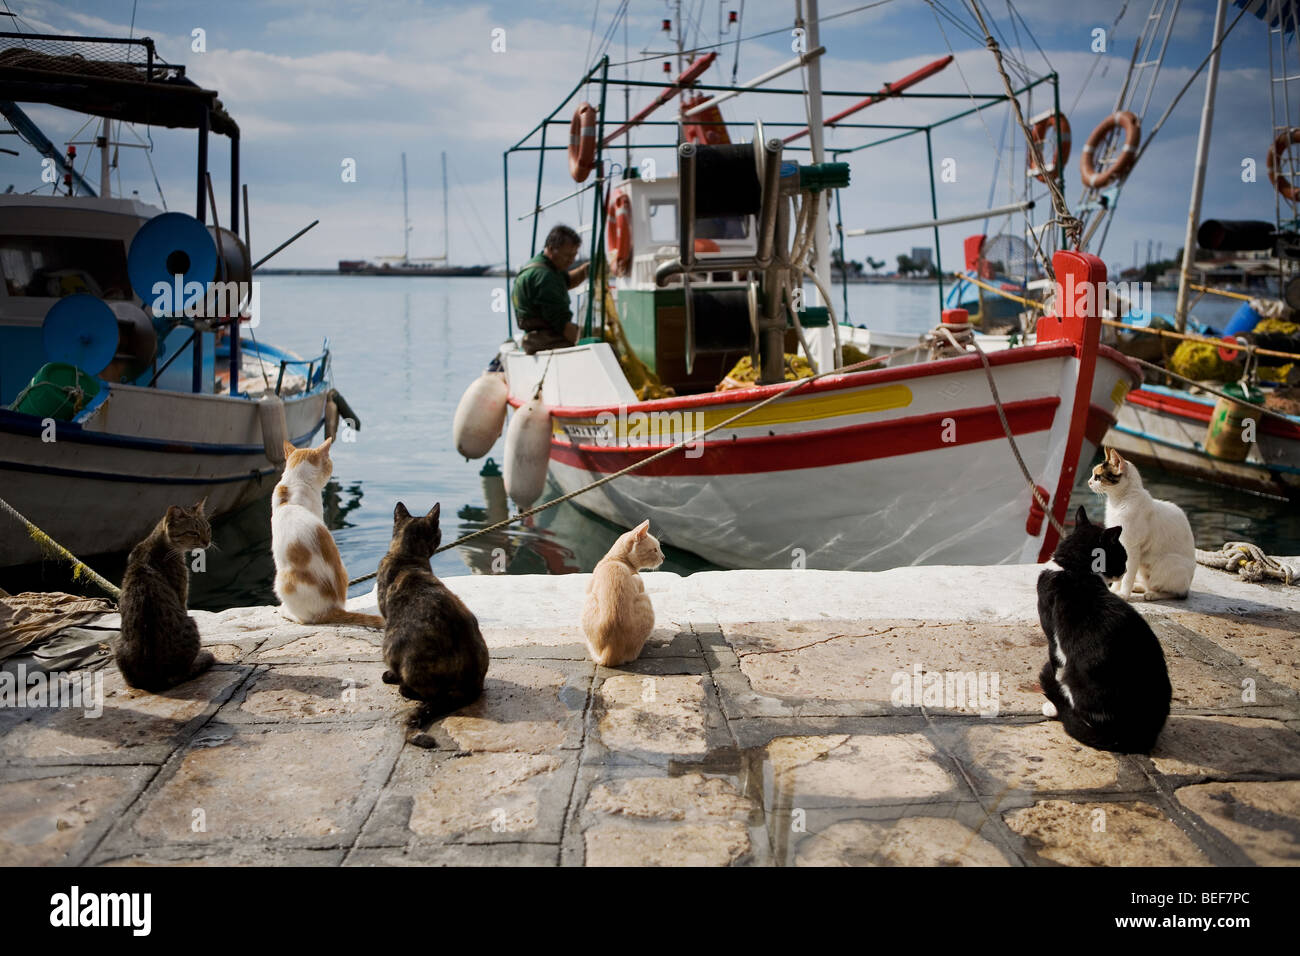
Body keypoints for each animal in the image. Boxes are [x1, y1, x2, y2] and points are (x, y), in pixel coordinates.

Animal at [115, 496, 215, 691]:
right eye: (193, 533)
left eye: (207, 528)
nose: (207, 542)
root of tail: (154, 678)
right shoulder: (182, 597)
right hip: (191, 623)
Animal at [379, 504, 491, 712]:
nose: (440, 534)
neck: (407, 557)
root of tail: (469, 687)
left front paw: (390, 676)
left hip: (391, 643)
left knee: (423, 692)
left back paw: (402, 686)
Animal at [1040, 509, 1175, 754]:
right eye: (1123, 557)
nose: (1125, 571)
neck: (1076, 569)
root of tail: (1133, 736)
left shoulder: (1053, 641)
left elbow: (1054, 667)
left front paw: (1053, 705)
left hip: (1078, 678)